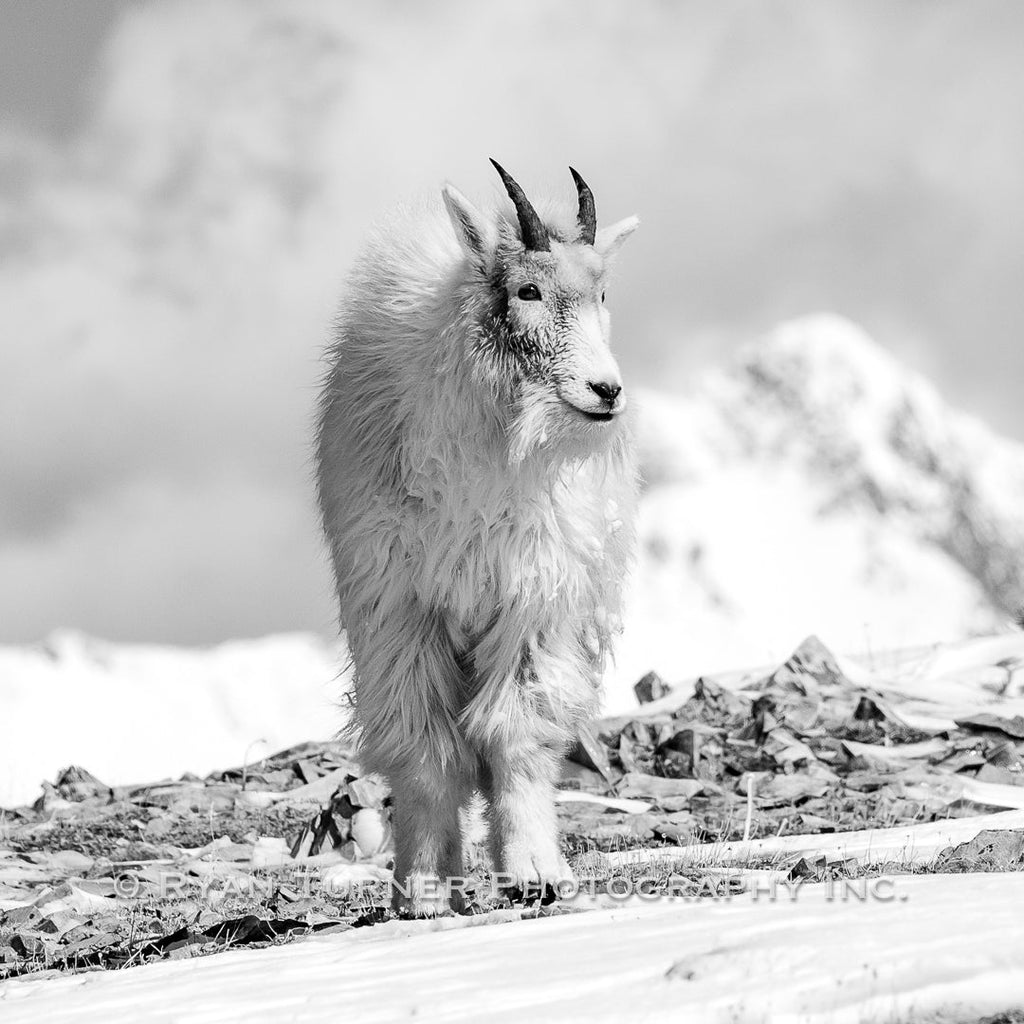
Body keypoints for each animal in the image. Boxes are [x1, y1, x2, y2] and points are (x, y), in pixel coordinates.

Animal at [315, 160, 639, 915]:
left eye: (602, 291)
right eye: (528, 290)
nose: (605, 391)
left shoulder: (532, 605)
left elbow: (514, 735)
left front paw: (536, 872)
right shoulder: (401, 611)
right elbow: (427, 750)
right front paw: (424, 886)